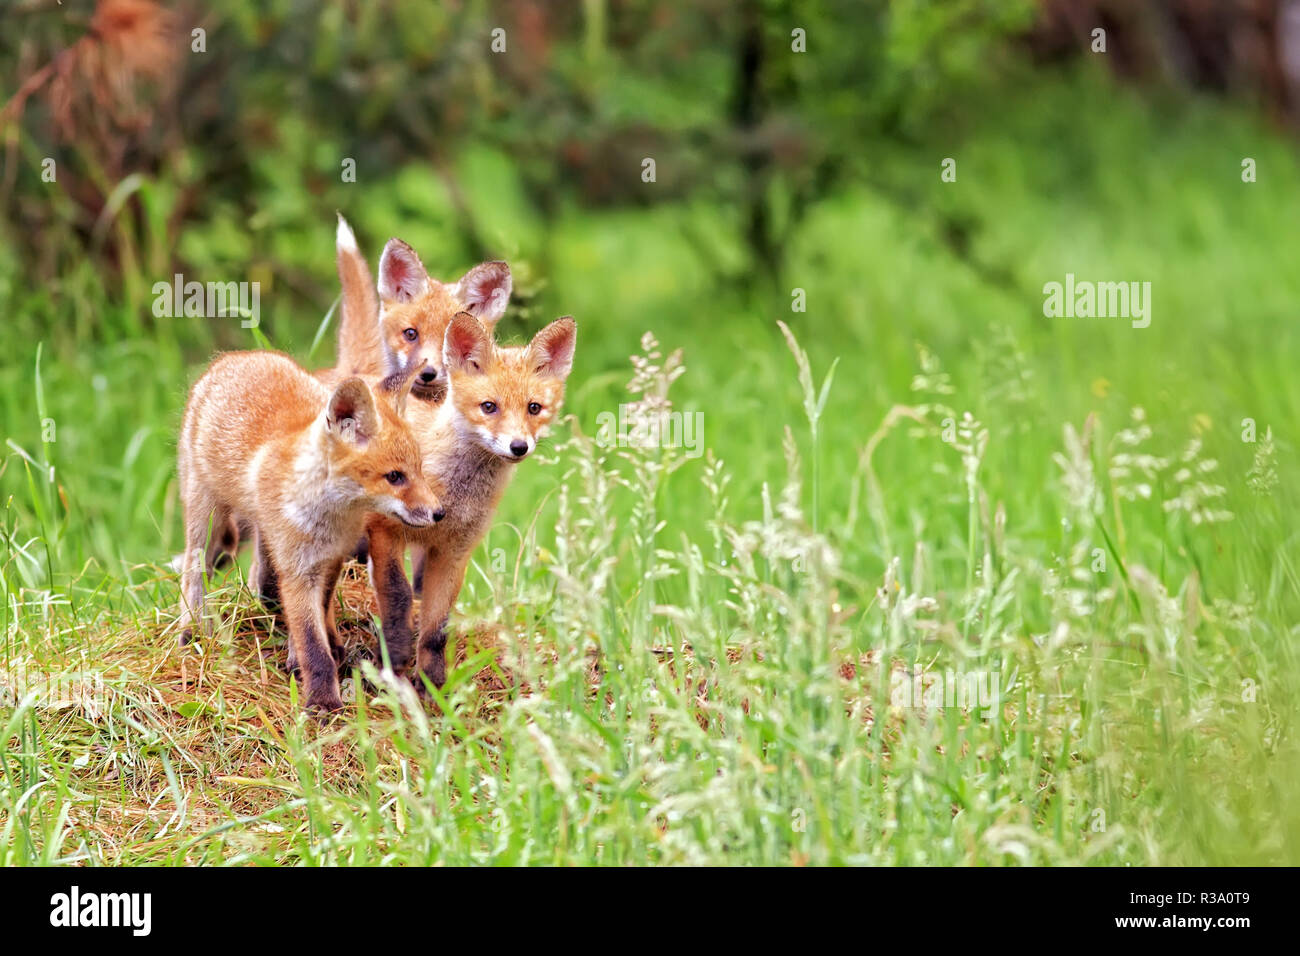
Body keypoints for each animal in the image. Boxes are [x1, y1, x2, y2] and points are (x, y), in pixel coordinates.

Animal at [175, 350, 444, 714]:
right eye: (394, 477)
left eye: (418, 470)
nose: (439, 513)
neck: (330, 517)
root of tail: (236, 356)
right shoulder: (298, 568)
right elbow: (312, 644)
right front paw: (322, 702)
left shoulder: (332, 557)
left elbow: (319, 613)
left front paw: (311, 652)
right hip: (205, 512)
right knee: (194, 570)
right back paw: (191, 629)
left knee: (263, 570)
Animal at [363, 311, 576, 690]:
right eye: (489, 407)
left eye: (533, 408)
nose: (518, 446)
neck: (453, 492)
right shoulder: (385, 530)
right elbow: (399, 594)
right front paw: (395, 658)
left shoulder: (455, 551)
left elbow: (437, 628)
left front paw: (432, 686)